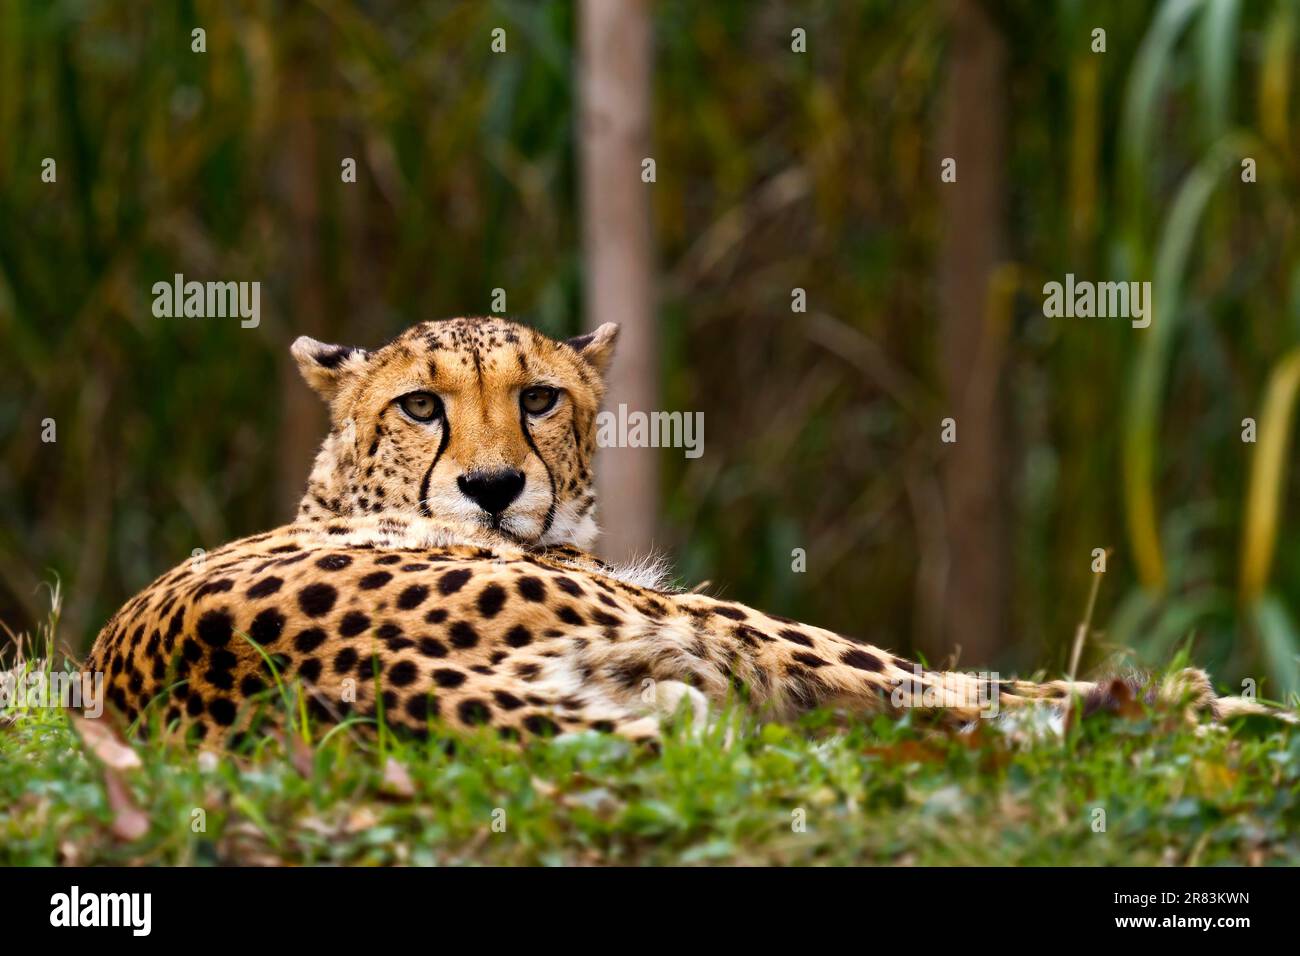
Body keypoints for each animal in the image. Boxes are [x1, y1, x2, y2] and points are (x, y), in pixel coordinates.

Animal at [85, 316, 1280, 747]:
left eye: (539, 398)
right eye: (420, 405)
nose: (491, 488)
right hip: (725, 629)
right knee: (940, 689)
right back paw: (1213, 703)